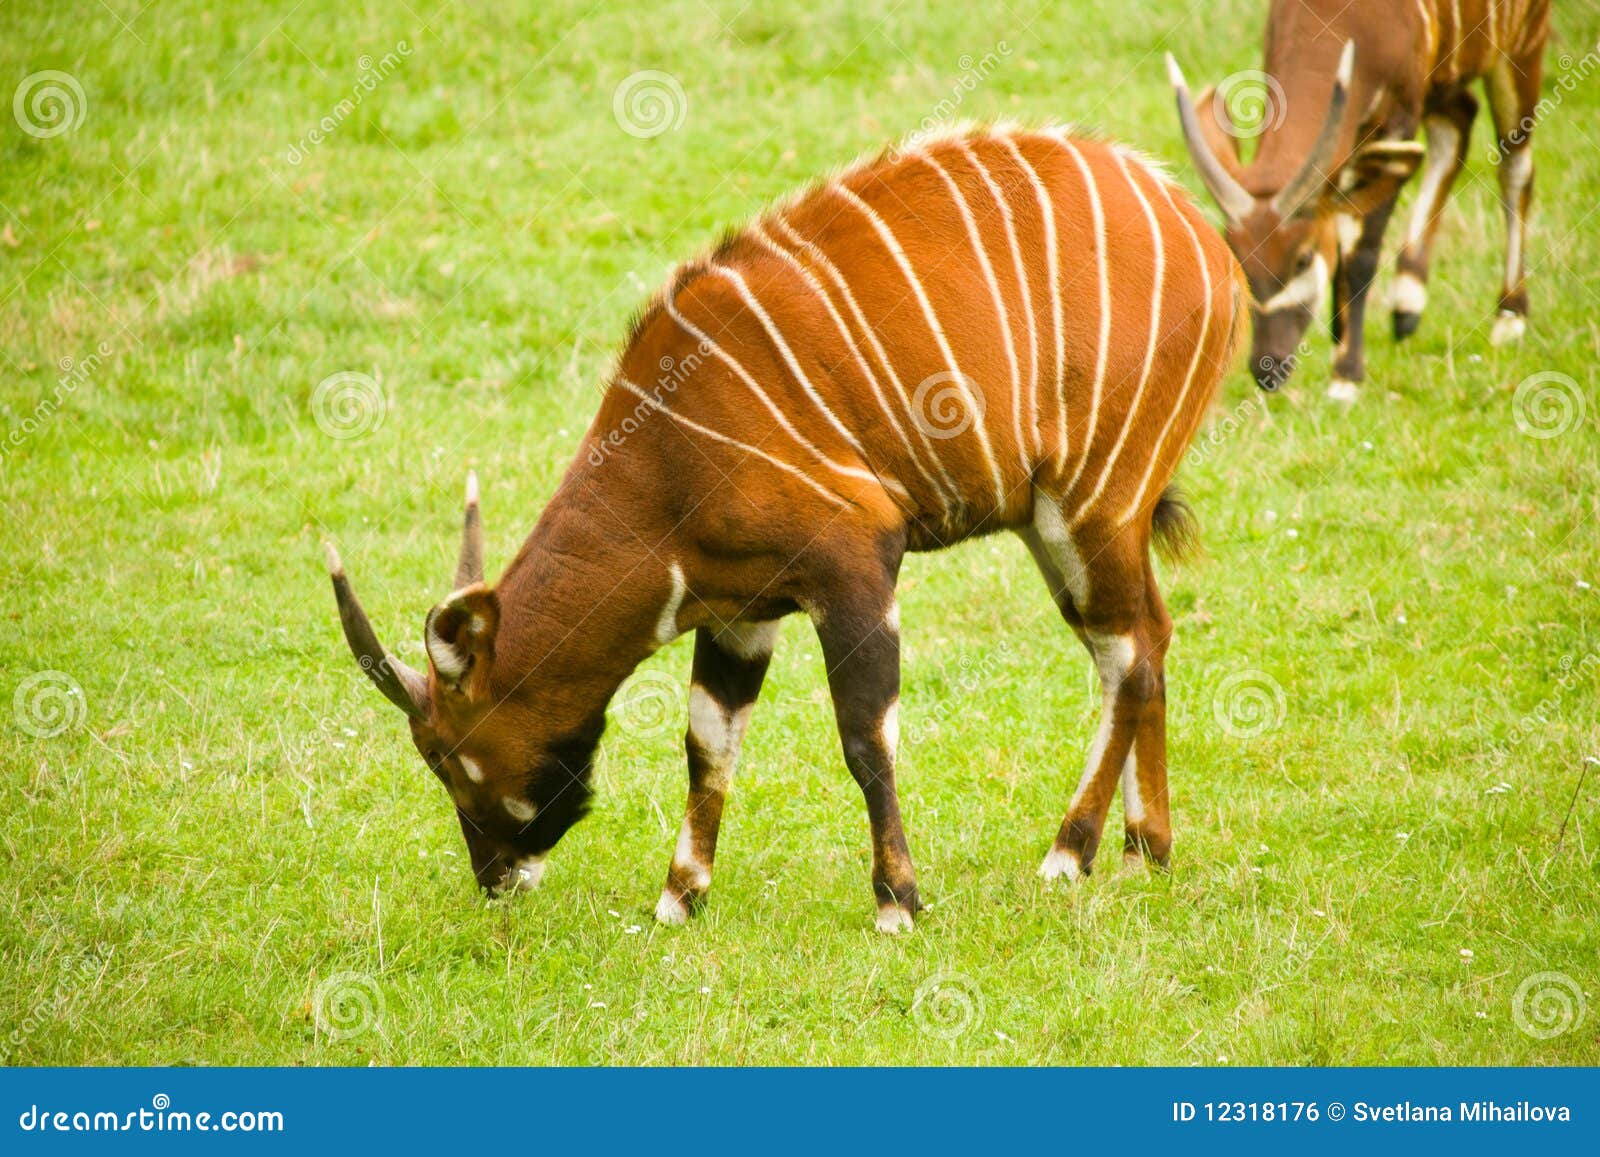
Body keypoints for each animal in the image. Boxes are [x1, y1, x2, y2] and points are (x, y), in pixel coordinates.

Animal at [327, 124, 1246, 932]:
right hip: (1064, 522)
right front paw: (678, 898)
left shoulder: (856, 564)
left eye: (446, 755)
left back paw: (1069, 851)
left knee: (1127, 653)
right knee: (1146, 633)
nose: (496, 877)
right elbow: (708, 740)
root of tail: (1202, 233)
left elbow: (866, 736)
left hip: (1094, 498)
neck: (663, 462)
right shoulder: (739, 611)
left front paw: (896, 902)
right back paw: (1144, 849)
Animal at [1166, 0, 1550, 400]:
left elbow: (1360, 253)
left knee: (1514, 164)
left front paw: (1345, 378)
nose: (1266, 369)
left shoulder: (1399, 118)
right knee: (1459, 119)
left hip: (1520, 47)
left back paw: (1510, 315)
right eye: (1238, 258)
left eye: (1303, 259)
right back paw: (1407, 303)